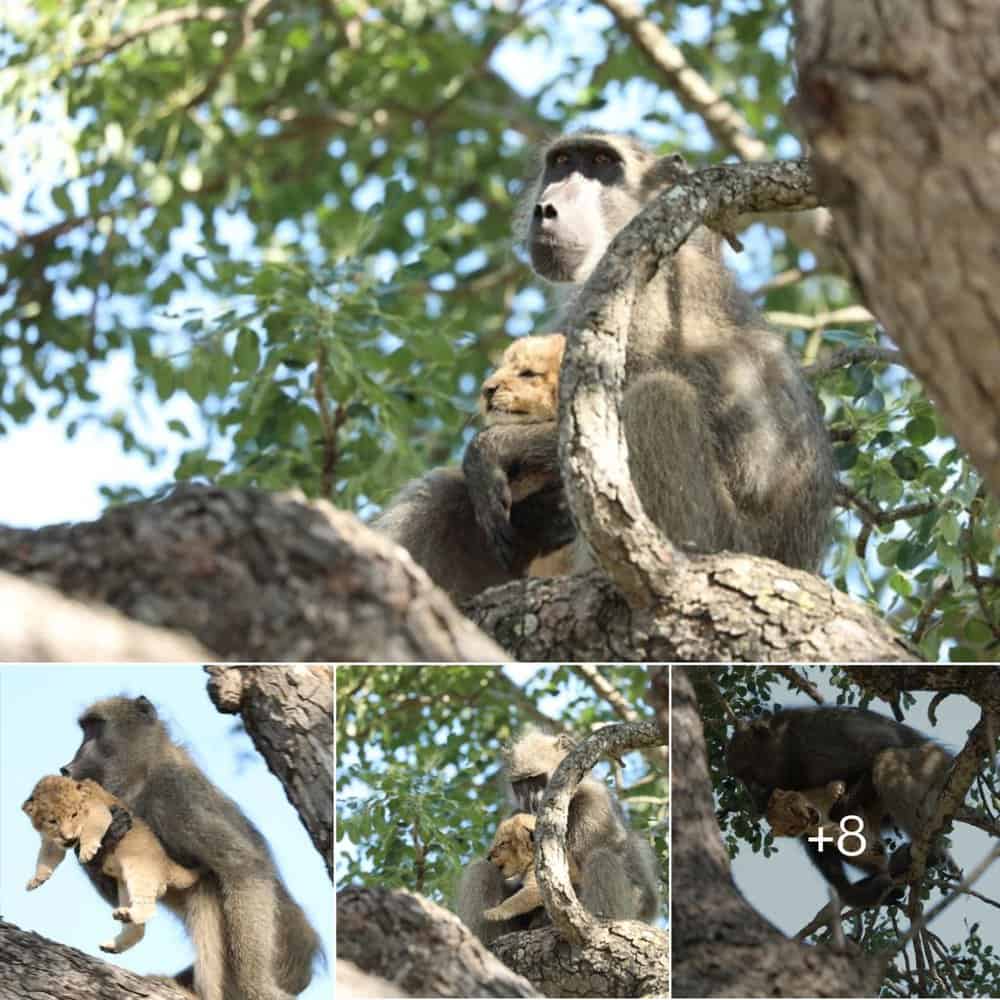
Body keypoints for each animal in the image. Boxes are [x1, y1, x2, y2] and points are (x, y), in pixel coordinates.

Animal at [22, 774, 200, 955]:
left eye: (74, 814)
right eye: (52, 821)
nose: (68, 837)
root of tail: (167, 864)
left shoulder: (100, 811)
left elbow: (92, 829)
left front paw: (87, 851)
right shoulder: (51, 842)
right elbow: (46, 858)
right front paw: (36, 879)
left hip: (139, 870)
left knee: (148, 909)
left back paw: (128, 916)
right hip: (125, 890)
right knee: (138, 931)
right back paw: (113, 943)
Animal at [61, 695, 321, 1000]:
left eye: (94, 728)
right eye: (85, 729)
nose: (67, 768)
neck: (143, 774)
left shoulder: (175, 793)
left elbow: (243, 866)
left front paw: (255, 988)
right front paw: (109, 834)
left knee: (208, 885)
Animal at [456, 727, 659, 944]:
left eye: (536, 779)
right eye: (520, 784)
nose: (531, 803)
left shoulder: (594, 805)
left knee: (602, 858)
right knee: (481, 869)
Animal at [726, 707, 954, 908]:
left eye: (749, 774)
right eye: (740, 778)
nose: (755, 800)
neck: (786, 747)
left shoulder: (817, 742)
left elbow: (881, 746)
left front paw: (841, 808)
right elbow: (814, 838)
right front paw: (854, 894)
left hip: (932, 764)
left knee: (886, 760)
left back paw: (931, 852)